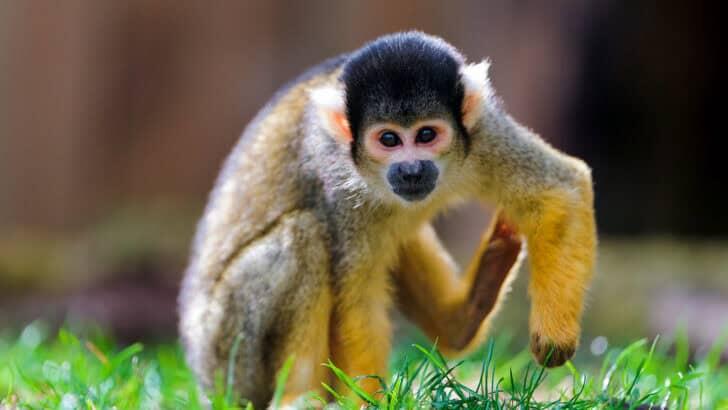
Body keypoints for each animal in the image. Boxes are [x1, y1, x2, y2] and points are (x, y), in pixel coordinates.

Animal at [178, 32, 596, 408]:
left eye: (426, 134)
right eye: (389, 140)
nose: (411, 170)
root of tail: (203, 376)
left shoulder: (485, 131)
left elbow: (561, 189)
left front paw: (554, 338)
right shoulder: (336, 172)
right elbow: (358, 300)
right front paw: (367, 401)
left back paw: (464, 316)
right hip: (229, 353)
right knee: (303, 237)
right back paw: (296, 397)